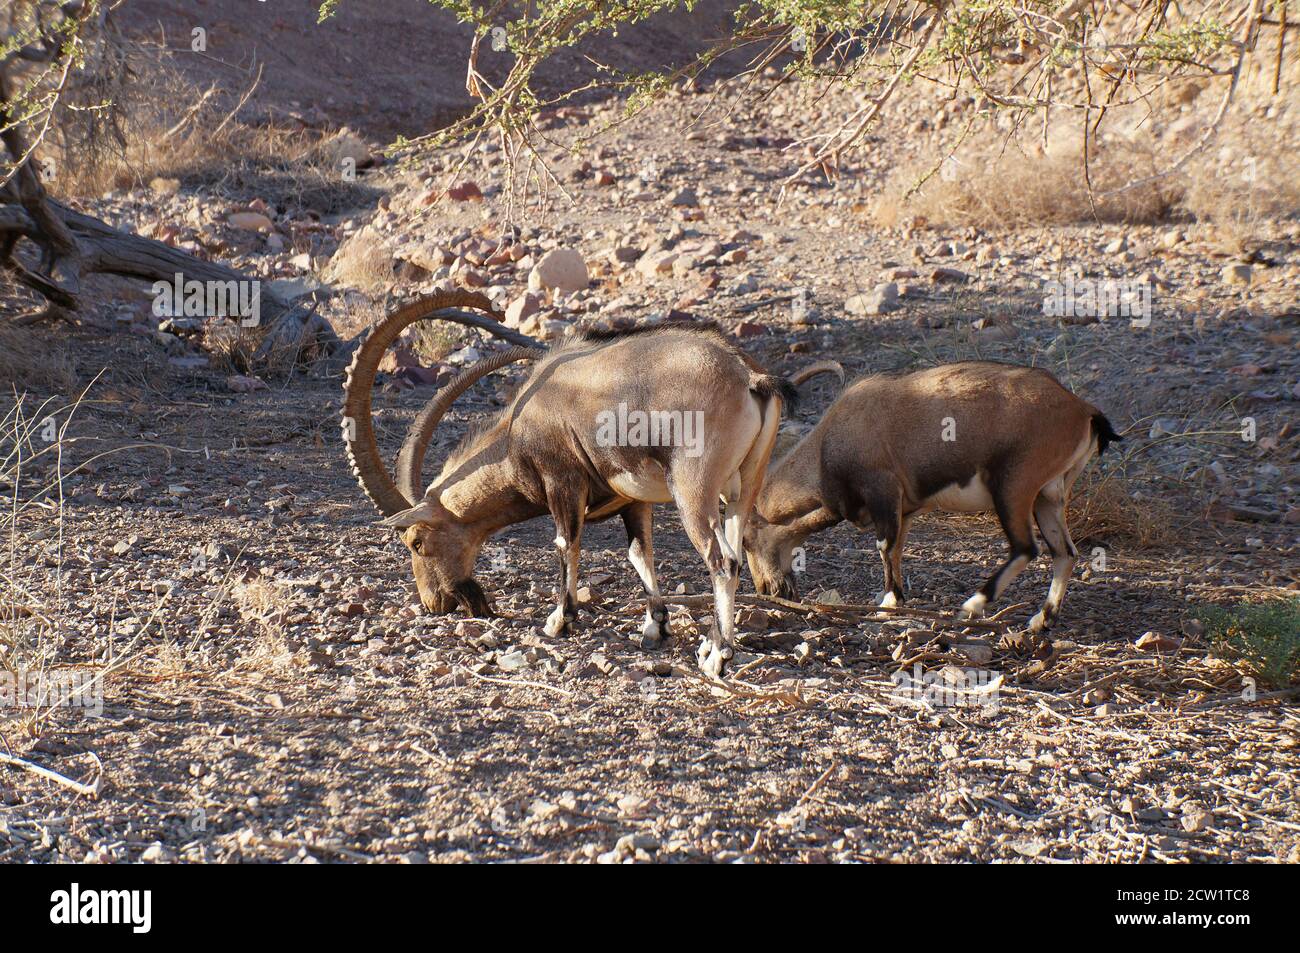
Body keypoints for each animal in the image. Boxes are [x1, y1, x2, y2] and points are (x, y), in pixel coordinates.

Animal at [342, 290, 795, 676]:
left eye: (417, 542)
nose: (435, 603)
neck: (518, 433)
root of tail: (750, 378)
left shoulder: (562, 483)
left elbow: (566, 544)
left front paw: (558, 620)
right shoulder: (633, 497)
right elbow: (639, 553)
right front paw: (655, 628)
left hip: (692, 489)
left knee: (723, 561)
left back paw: (718, 655)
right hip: (742, 487)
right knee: (736, 547)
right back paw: (715, 643)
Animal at [744, 361, 1122, 633]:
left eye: (747, 540)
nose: (767, 589)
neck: (827, 447)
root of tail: (1083, 410)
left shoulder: (883, 490)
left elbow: (883, 546)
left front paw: (888, 603)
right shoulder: (906, 508)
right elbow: (896, 549)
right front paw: (895, 597)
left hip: (1014, 487)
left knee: (1026, 548)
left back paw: (973, 605)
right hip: (1049, 496)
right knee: (1065, 553)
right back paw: (1041, 620)